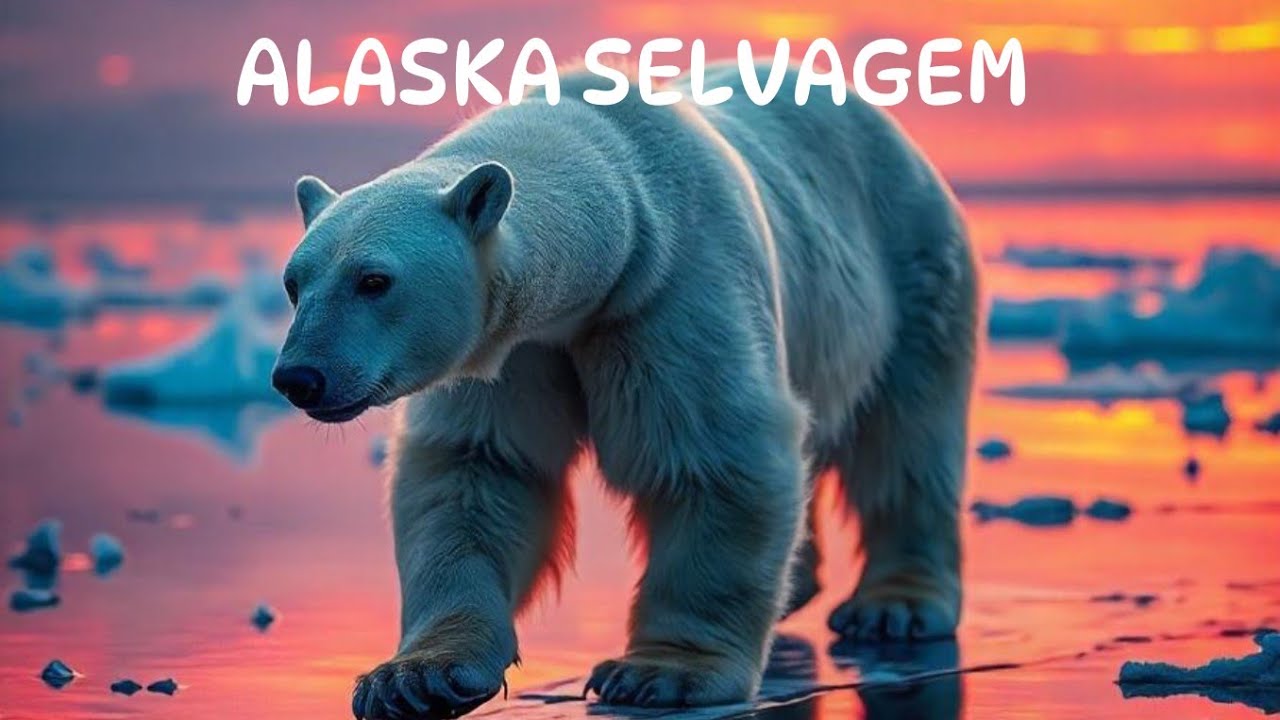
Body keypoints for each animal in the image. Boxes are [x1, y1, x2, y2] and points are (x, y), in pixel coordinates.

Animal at [273, 61, 976, 720]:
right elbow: (480, 468)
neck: (623, 196)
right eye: (294, 281)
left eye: (374, 280)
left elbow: (711, 456)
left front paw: (660, 674)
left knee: (905, 439)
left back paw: (895, 606)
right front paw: (416, 678)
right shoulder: (514, 352)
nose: (298, 376)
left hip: (911, 269)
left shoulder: (669, 290)